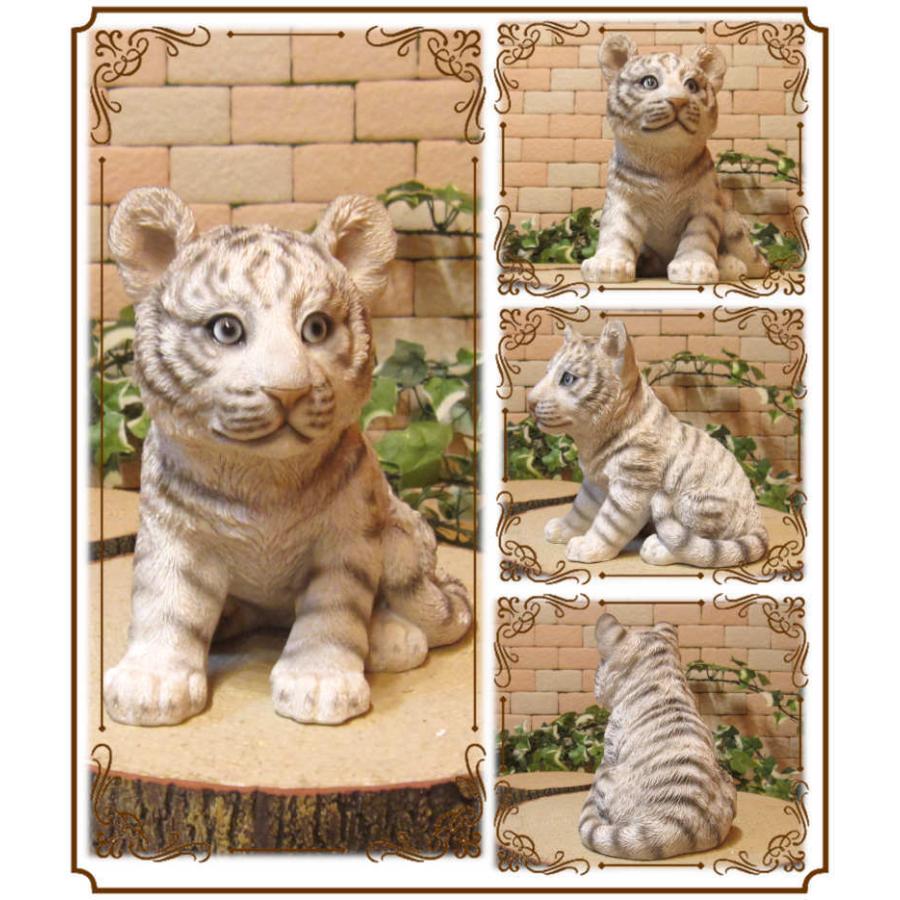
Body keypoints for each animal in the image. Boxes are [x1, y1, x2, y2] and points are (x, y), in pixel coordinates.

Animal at [102, 186, 472, 727]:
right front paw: (151, 683)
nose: (288, 392)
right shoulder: (174, 532)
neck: (262, 478)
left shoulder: (347, 539)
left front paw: (319, 683)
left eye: (316, 328)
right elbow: (166, 604)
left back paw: (390, 640)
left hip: (403, 542)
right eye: (226, 329)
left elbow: (332, 613)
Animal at [526, 320, 768, 567]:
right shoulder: (595, 483)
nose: (530, 402)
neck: (594, 439)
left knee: (696, 545)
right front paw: (563, 528)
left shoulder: (631, 487)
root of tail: (757, 521)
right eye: (547, 372)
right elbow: (581, 509)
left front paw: (588, 547)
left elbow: (607, 524)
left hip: (697, 504)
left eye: (567, 379)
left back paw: (656, 548)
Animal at [580, 35, 768, 285]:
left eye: (692, 85)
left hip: (733, 226)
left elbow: (699, 235)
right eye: (649, 82)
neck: (665, 158)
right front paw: (608, 264)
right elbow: (617, 231)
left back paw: (732, 265)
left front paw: (693, 267)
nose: (678, 101)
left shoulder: (705, 203)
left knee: (756, 264)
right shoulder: (623, 199)